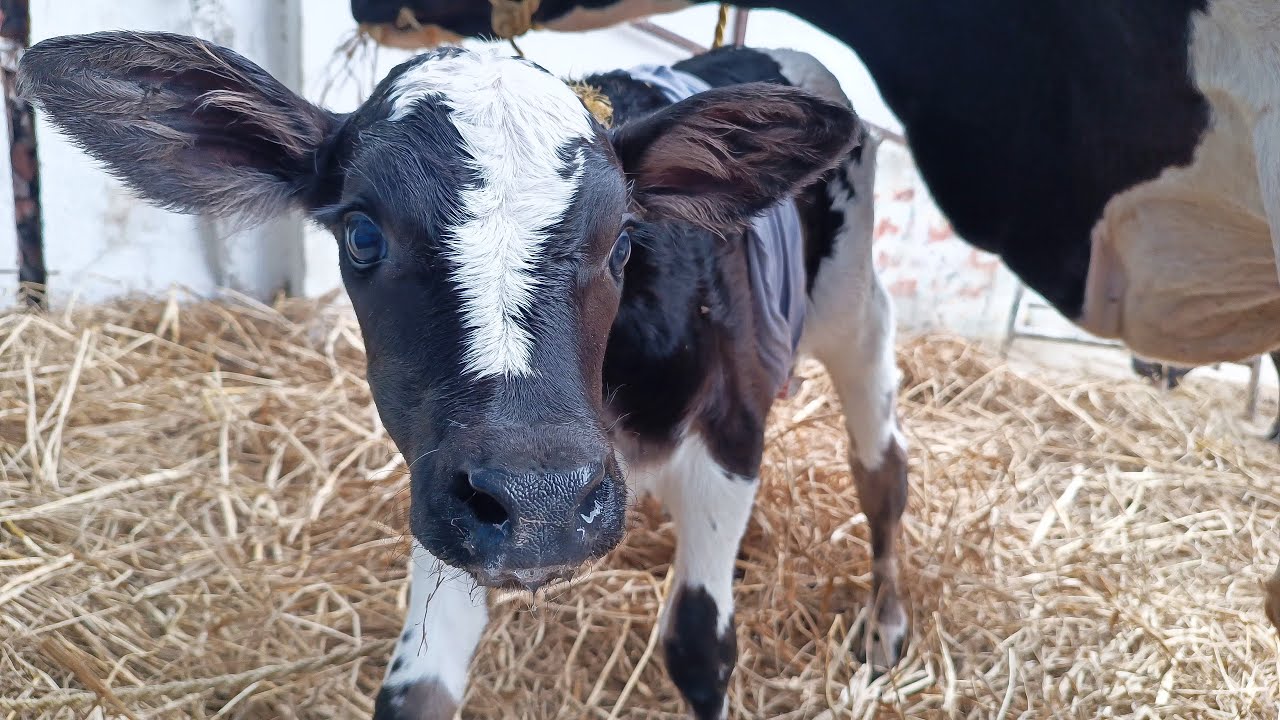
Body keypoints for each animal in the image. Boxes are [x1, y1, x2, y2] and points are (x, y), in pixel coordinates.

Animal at [19, 33, 904, 720]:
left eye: (622, 237)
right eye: (362, 233)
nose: (544, 500)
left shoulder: (729, 433)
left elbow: (698, 646)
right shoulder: (448, 496)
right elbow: (417, 685)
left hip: (855, 313)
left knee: (881, 470)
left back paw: (886, 625)